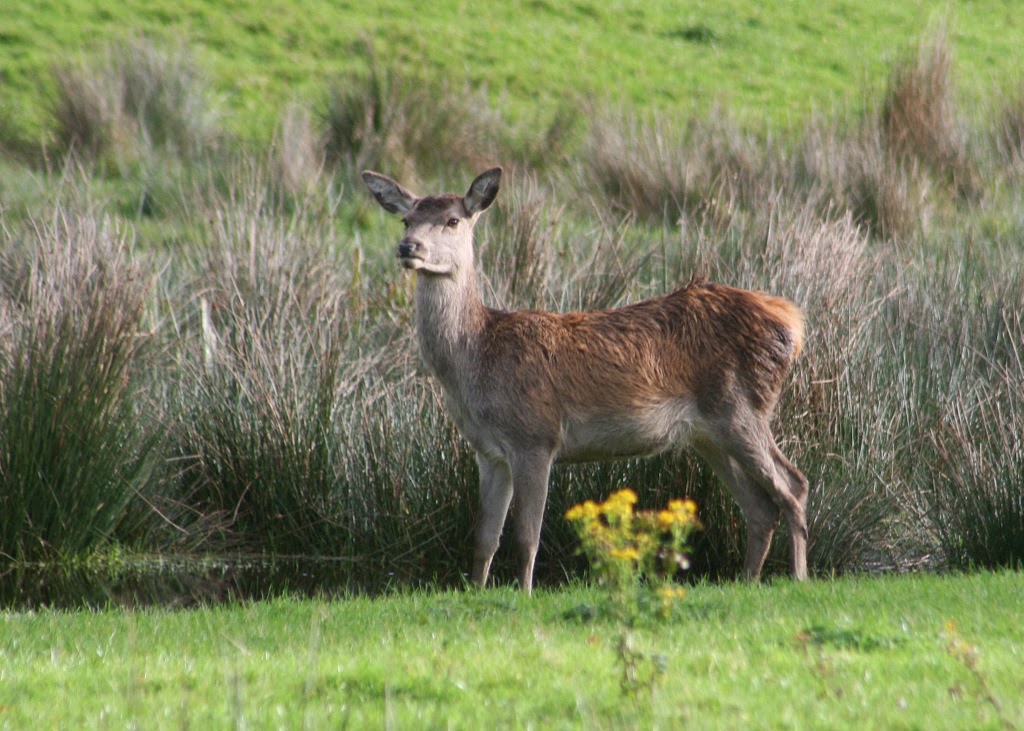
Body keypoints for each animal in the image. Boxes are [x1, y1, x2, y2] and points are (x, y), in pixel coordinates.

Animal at [362, 167, 809, 595]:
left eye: (453, 220)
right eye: (406, 219)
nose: (408, 248)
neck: (475, 362)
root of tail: (794, 321)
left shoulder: (535, 436)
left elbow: (526, 537)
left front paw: (524, 594)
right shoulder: (487, 452)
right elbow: (484, 538)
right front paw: (475, 591)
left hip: (742, 406)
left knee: (794, 484)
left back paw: (798, 577)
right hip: (708, 433)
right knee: (760, 506)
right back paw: (748, 581)